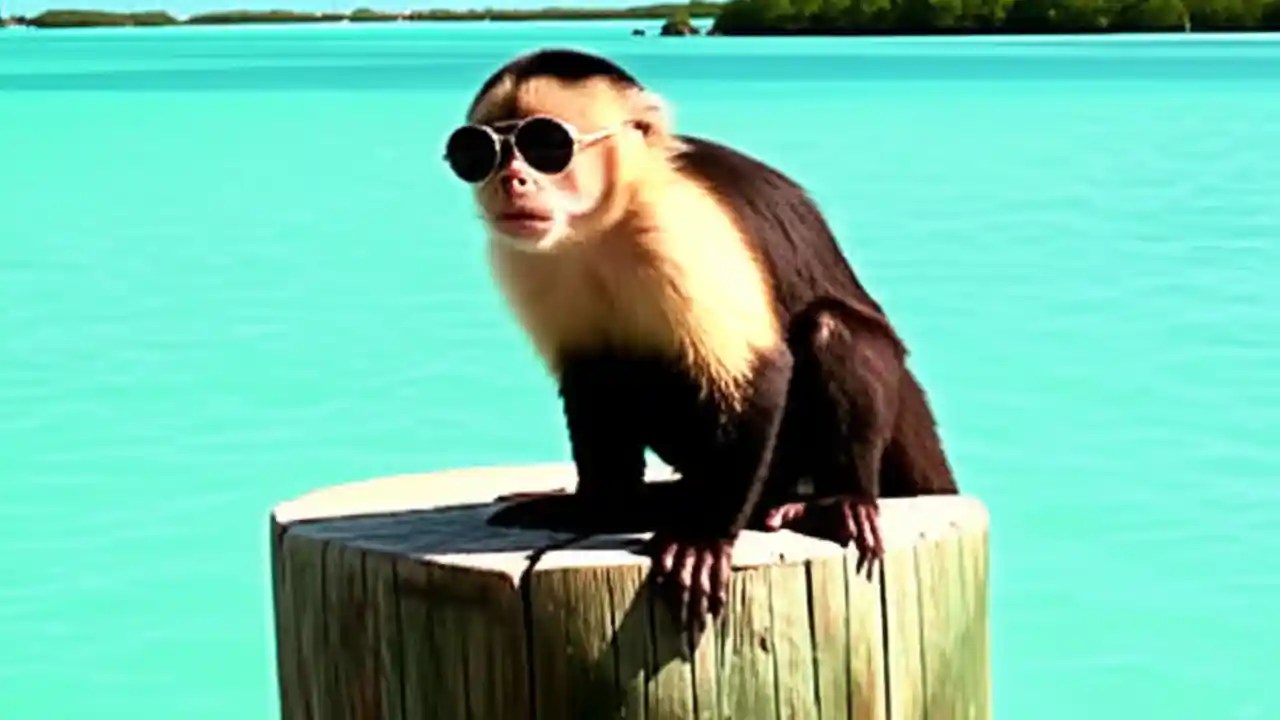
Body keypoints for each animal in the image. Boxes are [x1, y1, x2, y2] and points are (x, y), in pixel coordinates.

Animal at [443, 48, 958, 635]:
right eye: (476, 154)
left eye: (547, 146)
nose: (511, 178)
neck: (604, 223)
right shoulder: (523, 253)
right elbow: (587, 374)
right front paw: (595, 506)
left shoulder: (679, 224)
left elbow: (756, 372)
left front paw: (703, 537)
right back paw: (646, 500)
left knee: (833, 330)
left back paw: (833, 496)